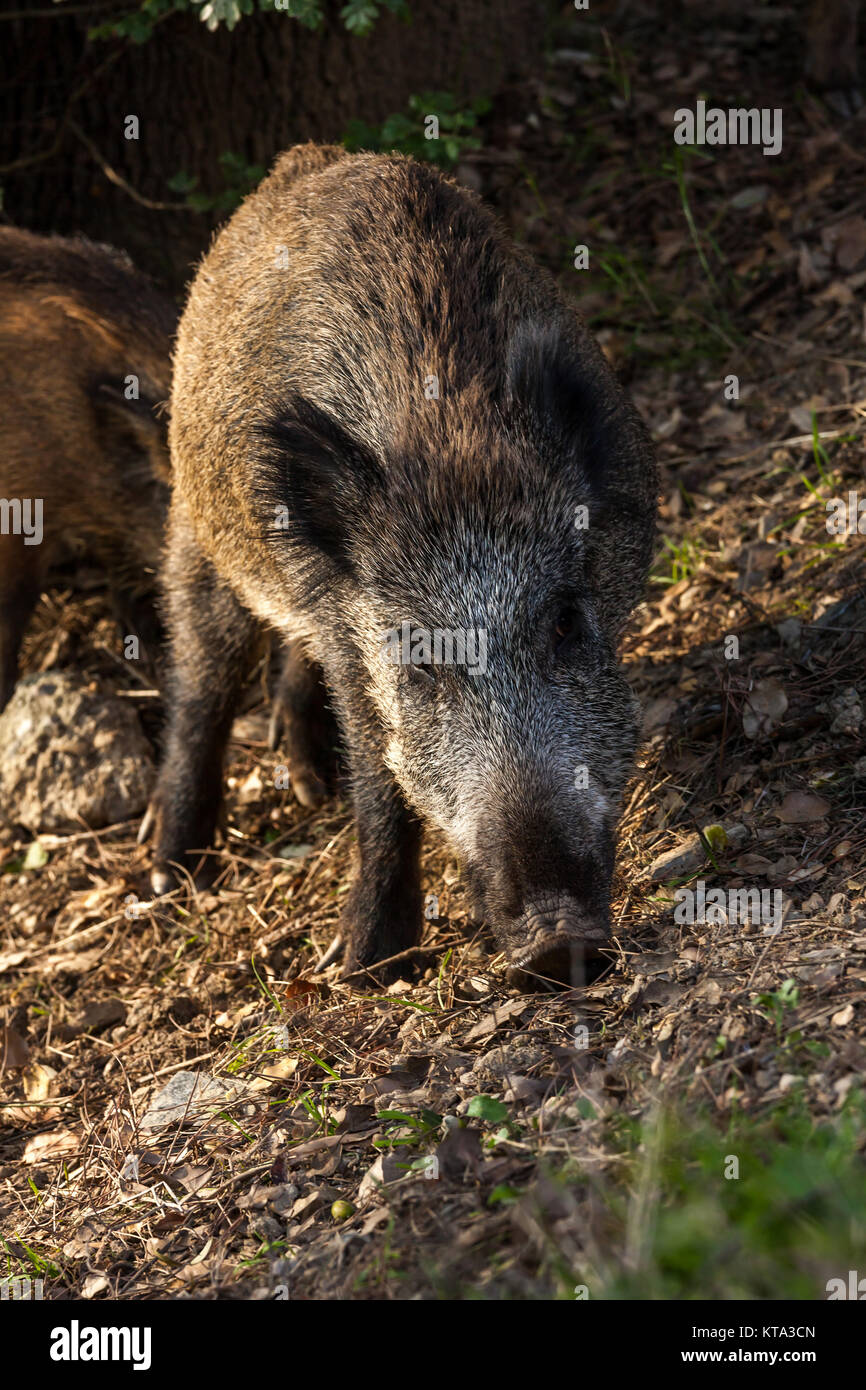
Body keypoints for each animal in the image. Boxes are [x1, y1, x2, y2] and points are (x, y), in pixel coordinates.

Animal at [149, 143, 658, 984]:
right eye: (421, 662)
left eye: (565, 622)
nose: (560, 940)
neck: (445, 433)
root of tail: (302, 159)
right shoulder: (355, 645)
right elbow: (383, 785)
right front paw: (363, 966)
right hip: (199, 530)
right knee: (202, 677)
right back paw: (168, 869)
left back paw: (308, 785)